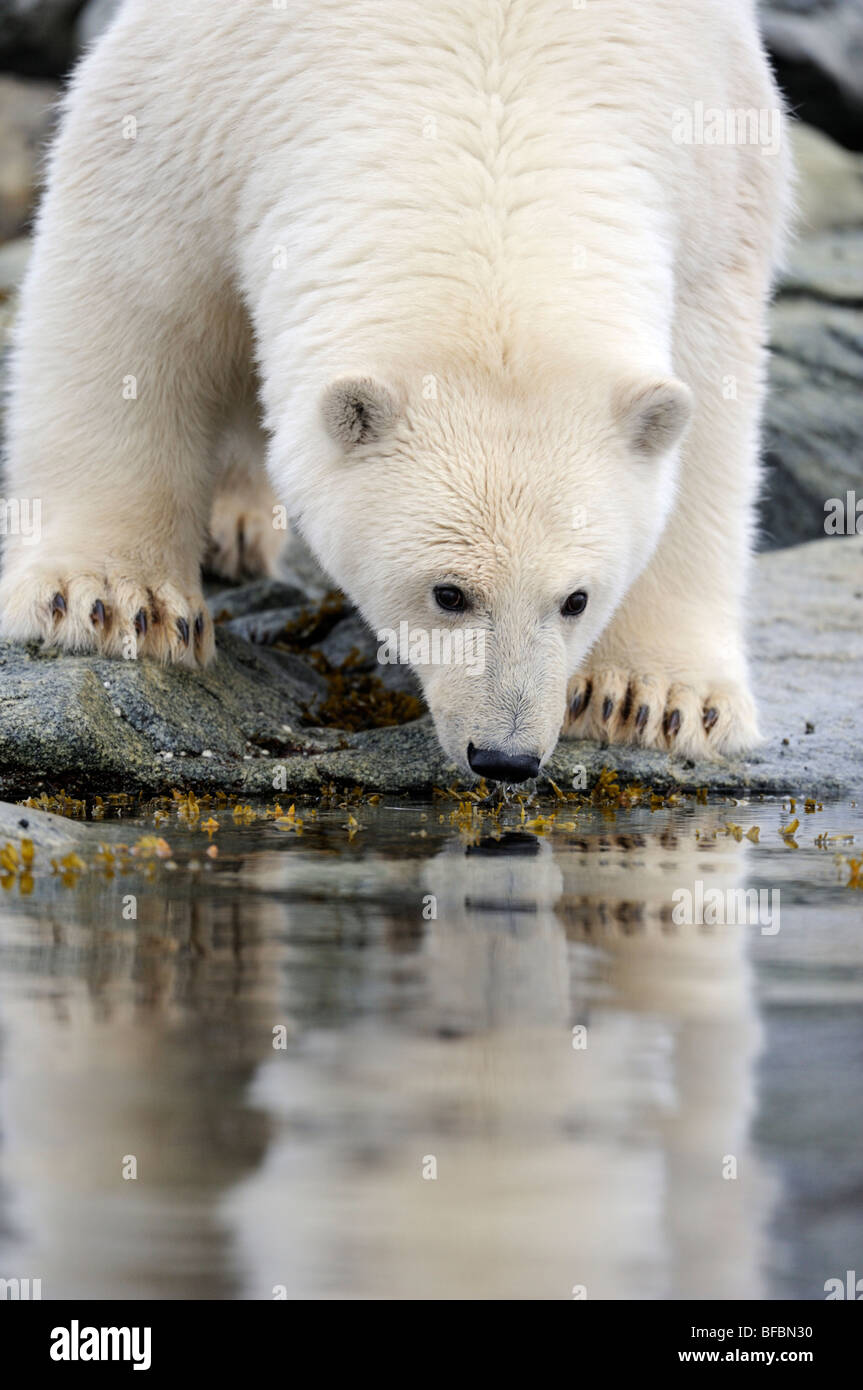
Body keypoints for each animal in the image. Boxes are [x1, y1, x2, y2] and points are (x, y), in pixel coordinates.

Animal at [0, 0, 791, 781]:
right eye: (449, 592)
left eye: (576, 598)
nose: (505, 757)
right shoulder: (196, 97)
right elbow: (133, 300)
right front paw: (110, 601)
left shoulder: (716, 174)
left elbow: (709, 418)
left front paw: (654, 697)